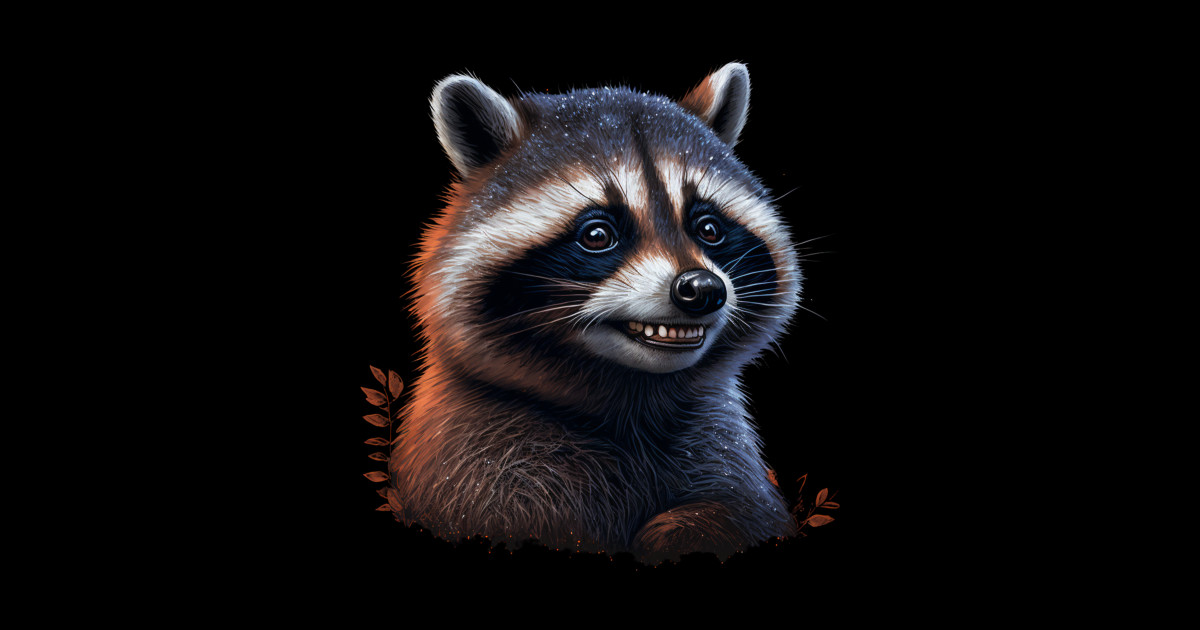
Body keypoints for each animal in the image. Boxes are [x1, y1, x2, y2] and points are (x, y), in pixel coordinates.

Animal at [390, 63, 803, 559]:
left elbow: (738, 507)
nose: (702, 289)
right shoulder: (477, 467)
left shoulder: (718, 445)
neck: (634, 397)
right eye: (598, 234)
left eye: (708, 228)